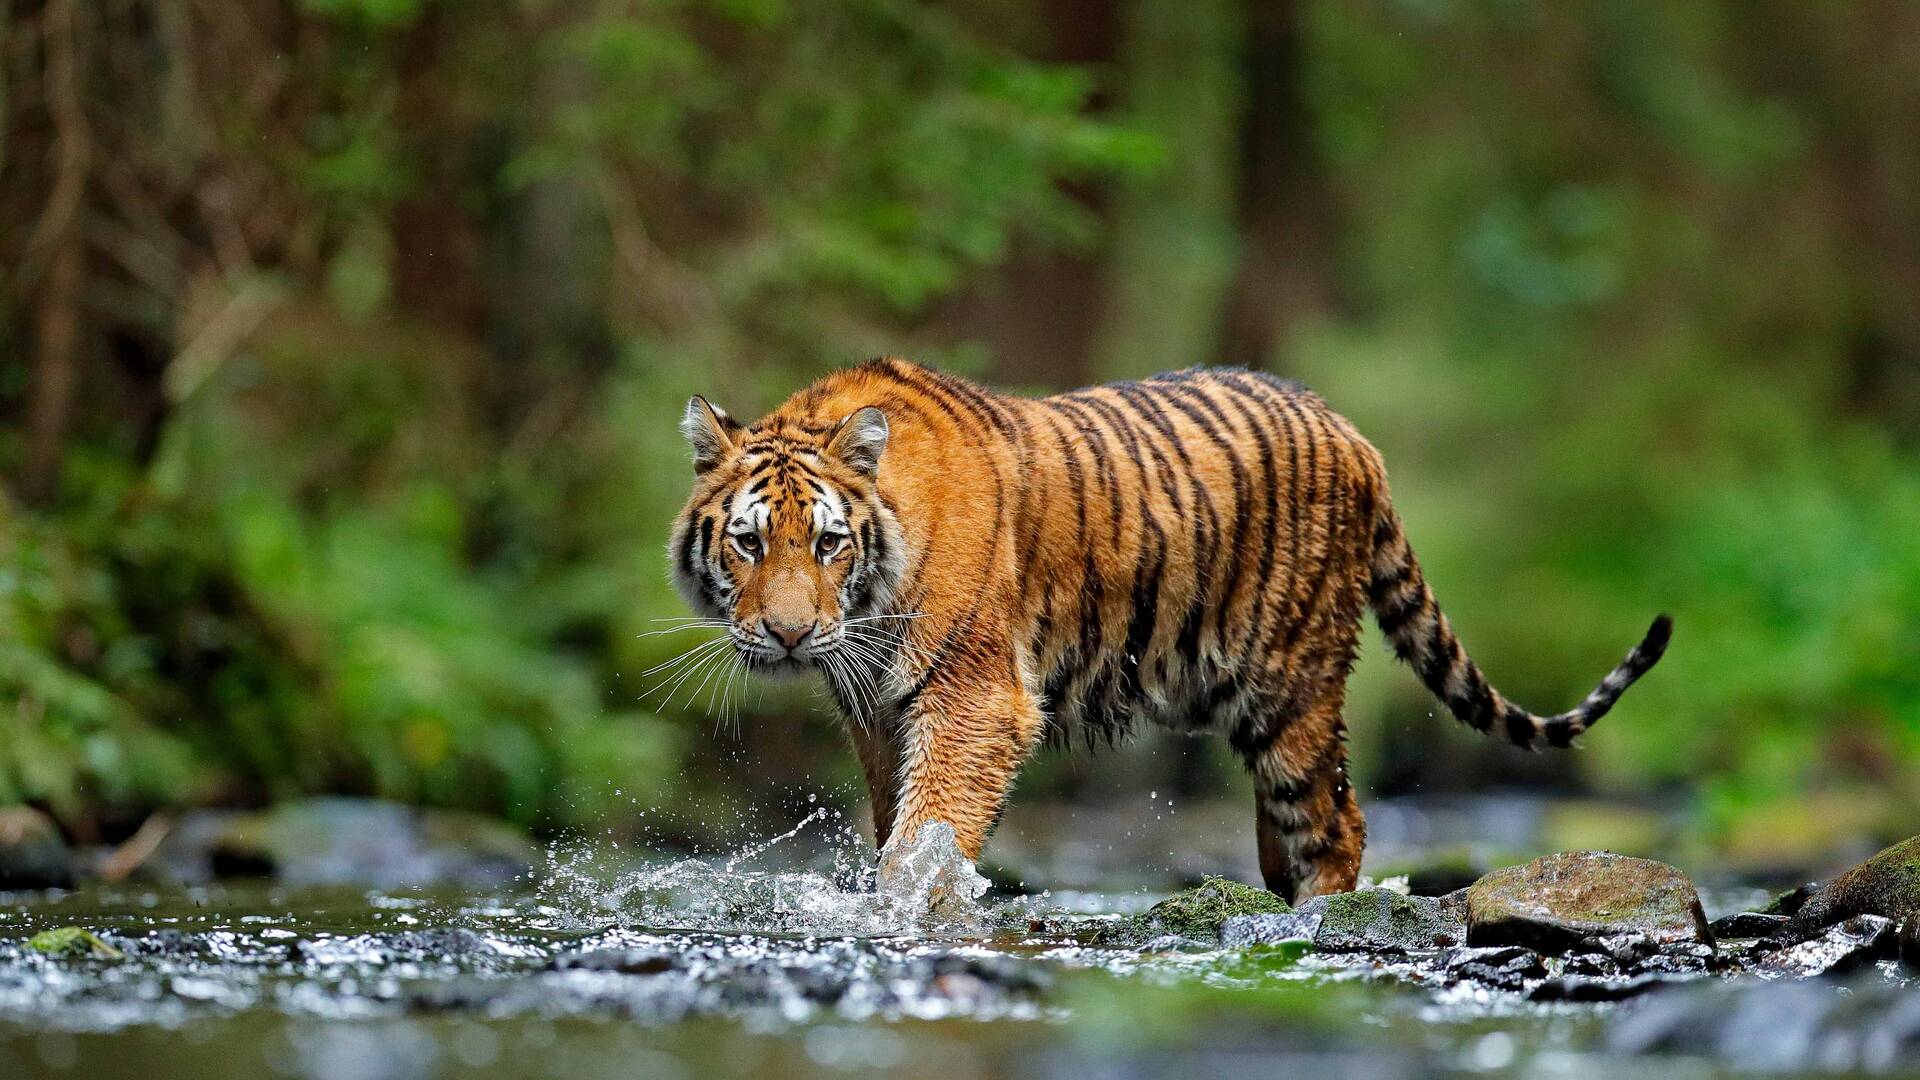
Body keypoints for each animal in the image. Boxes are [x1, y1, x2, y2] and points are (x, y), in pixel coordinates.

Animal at [668, 358, 1671, 902]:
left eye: (828, 543)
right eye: (749, 543)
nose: (789, 636)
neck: (870, 604)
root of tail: (1353, 433)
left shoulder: (973, 699)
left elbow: (928, 833)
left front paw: (909, 910)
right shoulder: (878, 711)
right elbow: (895, 824)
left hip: (1293, 684)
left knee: (1337, 820)